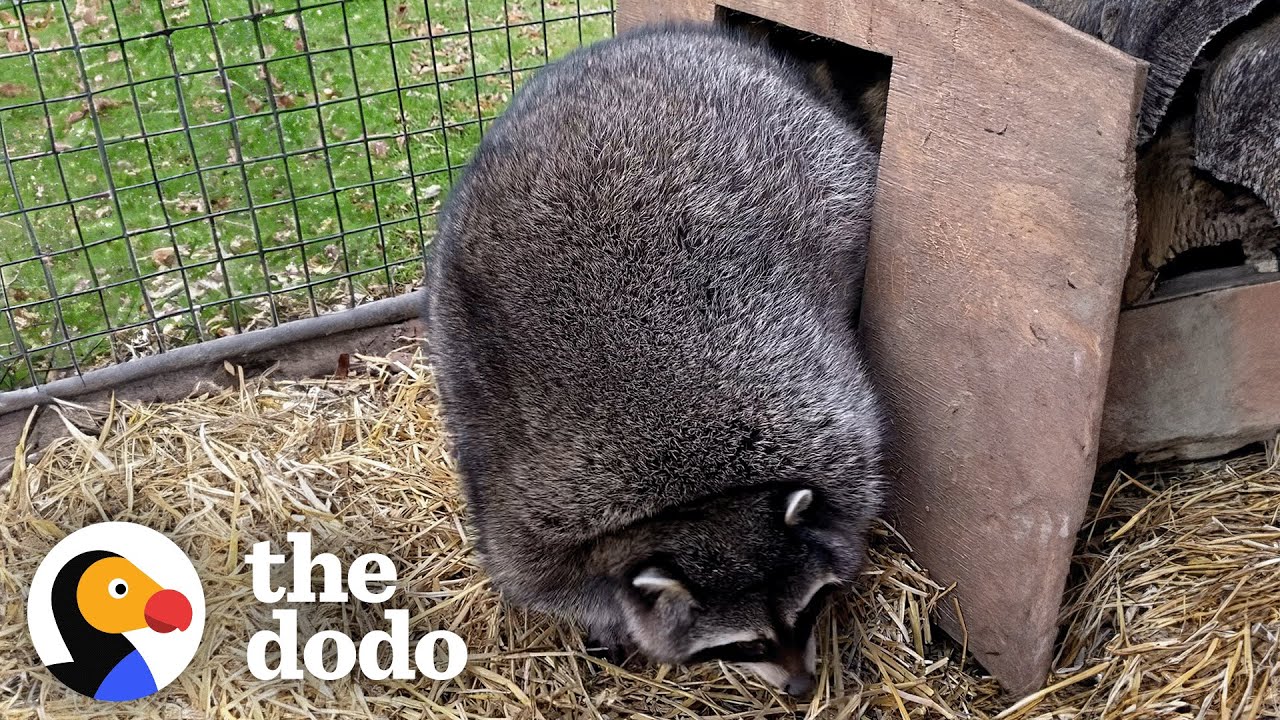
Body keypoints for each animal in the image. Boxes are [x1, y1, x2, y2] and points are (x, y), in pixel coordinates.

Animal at [423, 23, 886, 697]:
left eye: (807, 610)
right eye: (745, 644)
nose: (801, 688)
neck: (701, 502)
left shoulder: (833, 430)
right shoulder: (530, 521)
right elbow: (545, 581)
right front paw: (607, 622)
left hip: (826, 162)